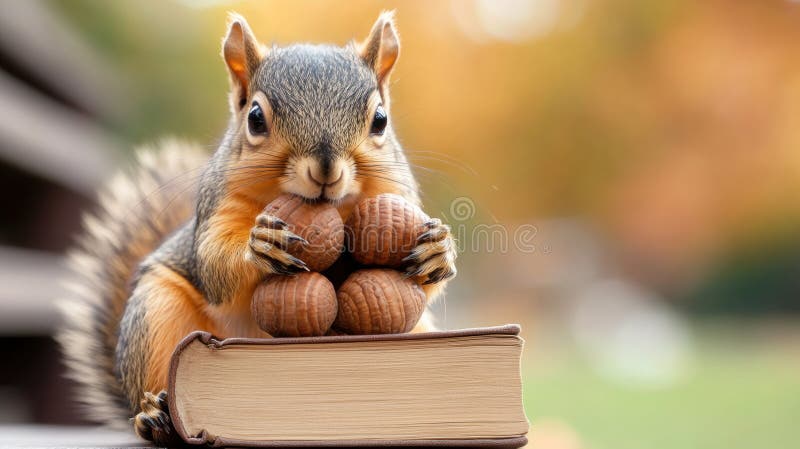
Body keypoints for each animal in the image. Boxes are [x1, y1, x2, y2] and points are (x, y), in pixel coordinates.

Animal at [56, 11, 457, 445]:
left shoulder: (397, 195)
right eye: (255, 118)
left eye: (380, 120)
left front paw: (440, 250)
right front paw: (259, 245)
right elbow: (214, 266)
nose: (326, 170)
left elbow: (424, 286)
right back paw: (154, 415)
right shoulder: (218, 207)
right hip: (156, 313)